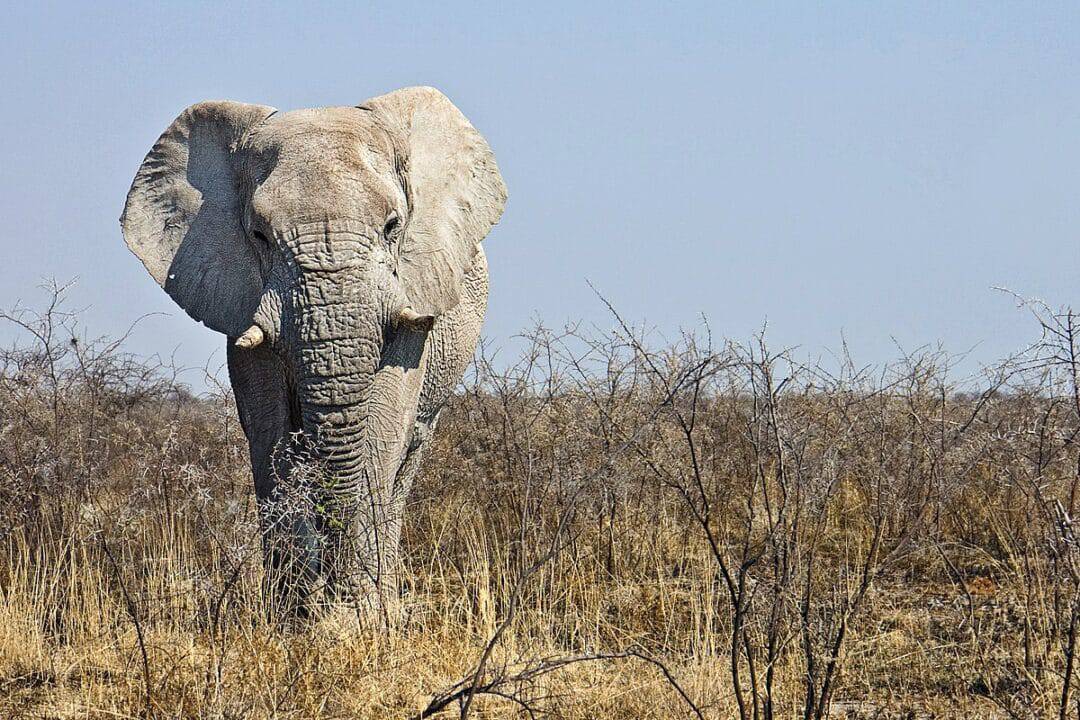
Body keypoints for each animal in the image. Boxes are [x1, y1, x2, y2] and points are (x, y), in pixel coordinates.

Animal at [120, 87, 506, 621]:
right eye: (259, 235)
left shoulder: (411, 293)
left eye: (393, 226)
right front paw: (296, 618)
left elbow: (382, 428)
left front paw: (360, 618)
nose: (336, 597)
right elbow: (270, 433)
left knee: (406, 459)